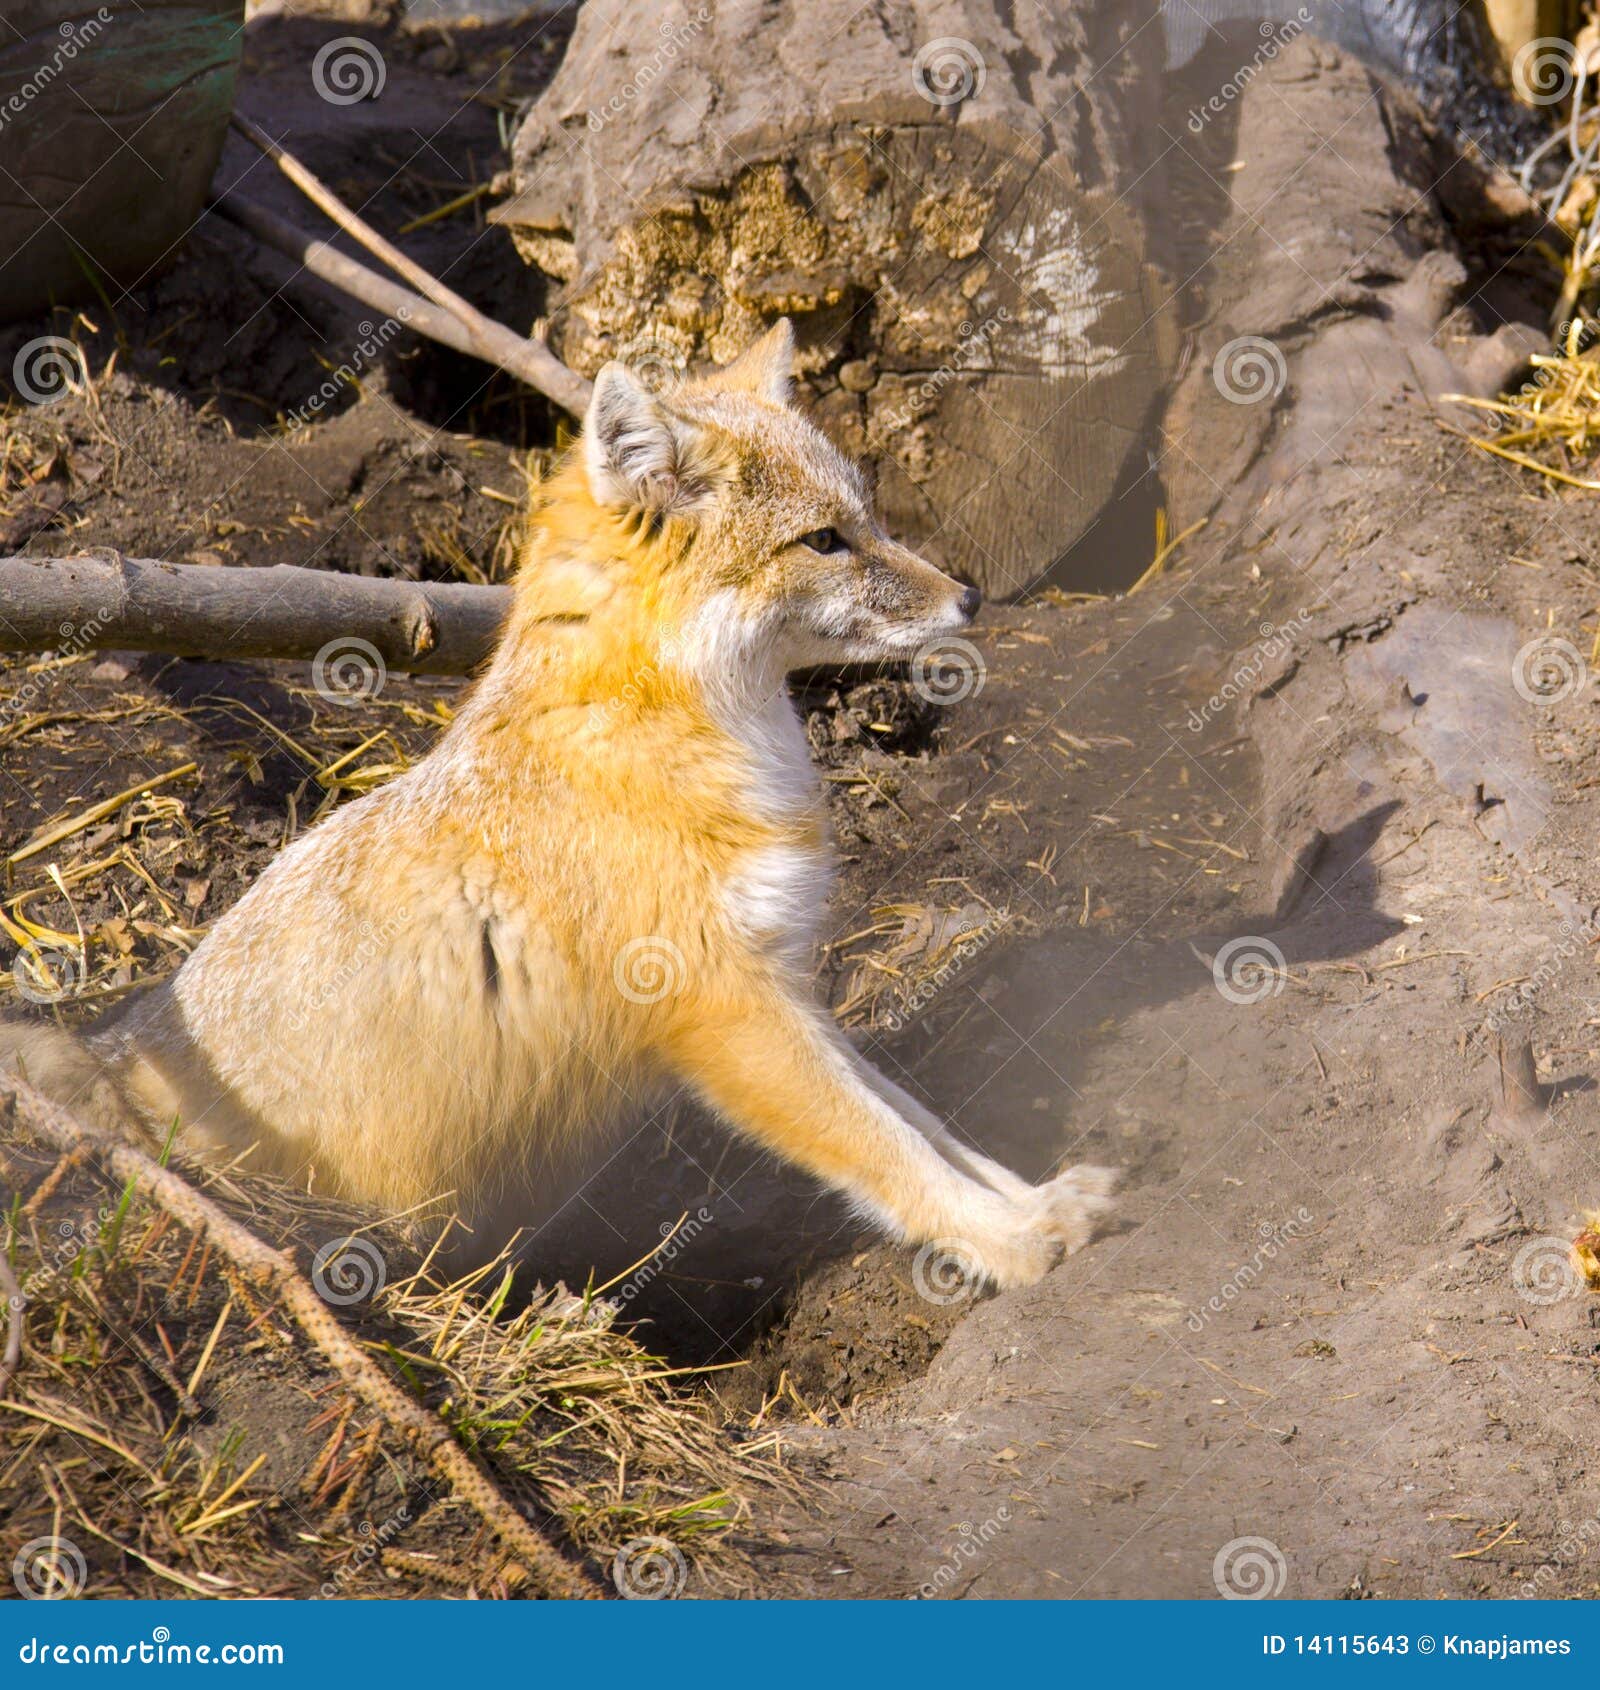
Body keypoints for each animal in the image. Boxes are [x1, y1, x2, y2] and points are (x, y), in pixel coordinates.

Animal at [1, 320, 1114, 1288]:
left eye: (869, 520)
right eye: (824, 541)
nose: (971, 597)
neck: (670, 735)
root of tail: (114, 1051)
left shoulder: (785, 989)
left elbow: (924, 1124)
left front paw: (1030, 1201)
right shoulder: (728, 1008)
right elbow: (883, 1147)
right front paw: (1009, 1242)